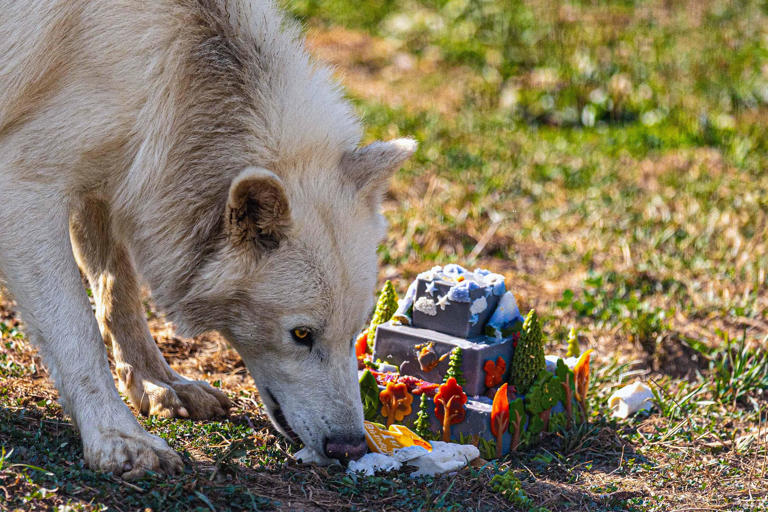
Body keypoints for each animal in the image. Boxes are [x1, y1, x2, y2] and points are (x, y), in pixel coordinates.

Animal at [0, 0, 415, 478]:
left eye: (357, 331)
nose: (350, 447)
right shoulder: (25, 189)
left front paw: (160, 385)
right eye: (301, 334)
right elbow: (77, 330)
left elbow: (118, 294)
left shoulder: (112, 176)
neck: (177, 69)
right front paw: (118, 439)